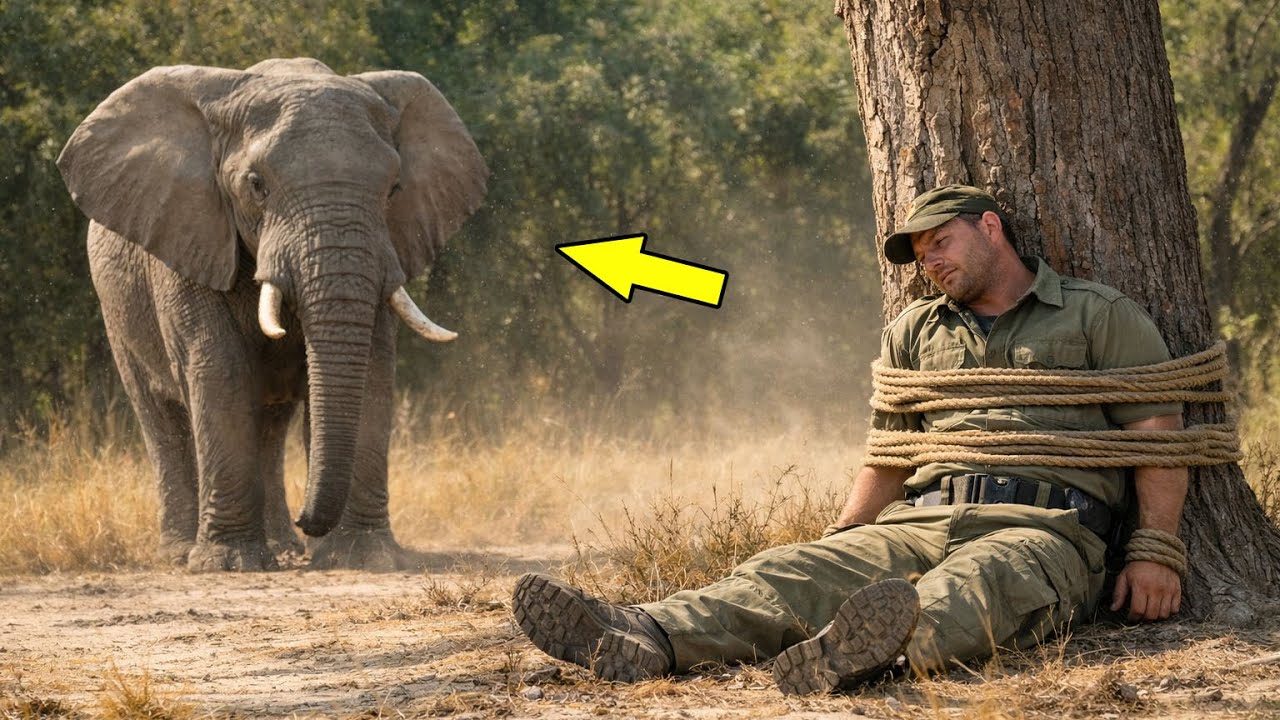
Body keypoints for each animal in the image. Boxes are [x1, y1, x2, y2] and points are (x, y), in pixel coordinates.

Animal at [57, 58, 488, 571]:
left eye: (394, 189)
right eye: (256, 186)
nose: (309, 521)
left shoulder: (388, 251)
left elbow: (371, 370)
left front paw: (361, 557)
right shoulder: (190, 237)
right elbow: (219, 370)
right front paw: (229, 564)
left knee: (269, 425)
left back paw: (282, 545)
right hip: (116, 312)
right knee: (162, 420)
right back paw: (182, 553)